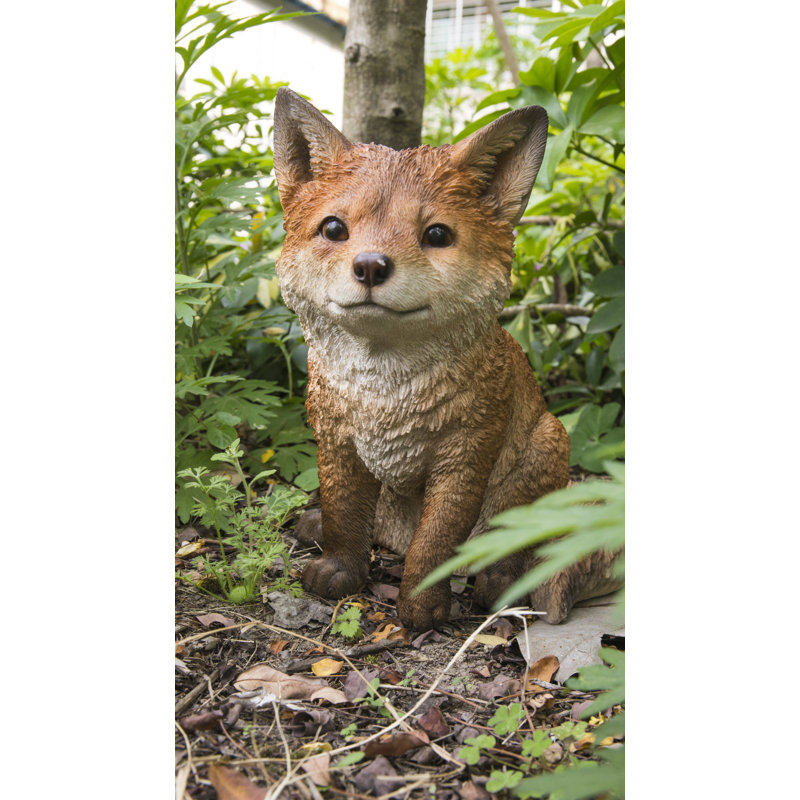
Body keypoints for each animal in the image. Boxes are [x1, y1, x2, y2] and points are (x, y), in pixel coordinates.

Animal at [272, 87, 619, 631]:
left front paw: (422, 606)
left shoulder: (466, 455)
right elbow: (343, 514)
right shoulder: (335, 439)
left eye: (436, 235)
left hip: (548, 442)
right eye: (333, 228)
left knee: (514, 543)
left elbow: (435, 543)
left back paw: (500, 582)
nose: (370, 266)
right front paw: (339, 569)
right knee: (374, 528)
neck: (385, 396)